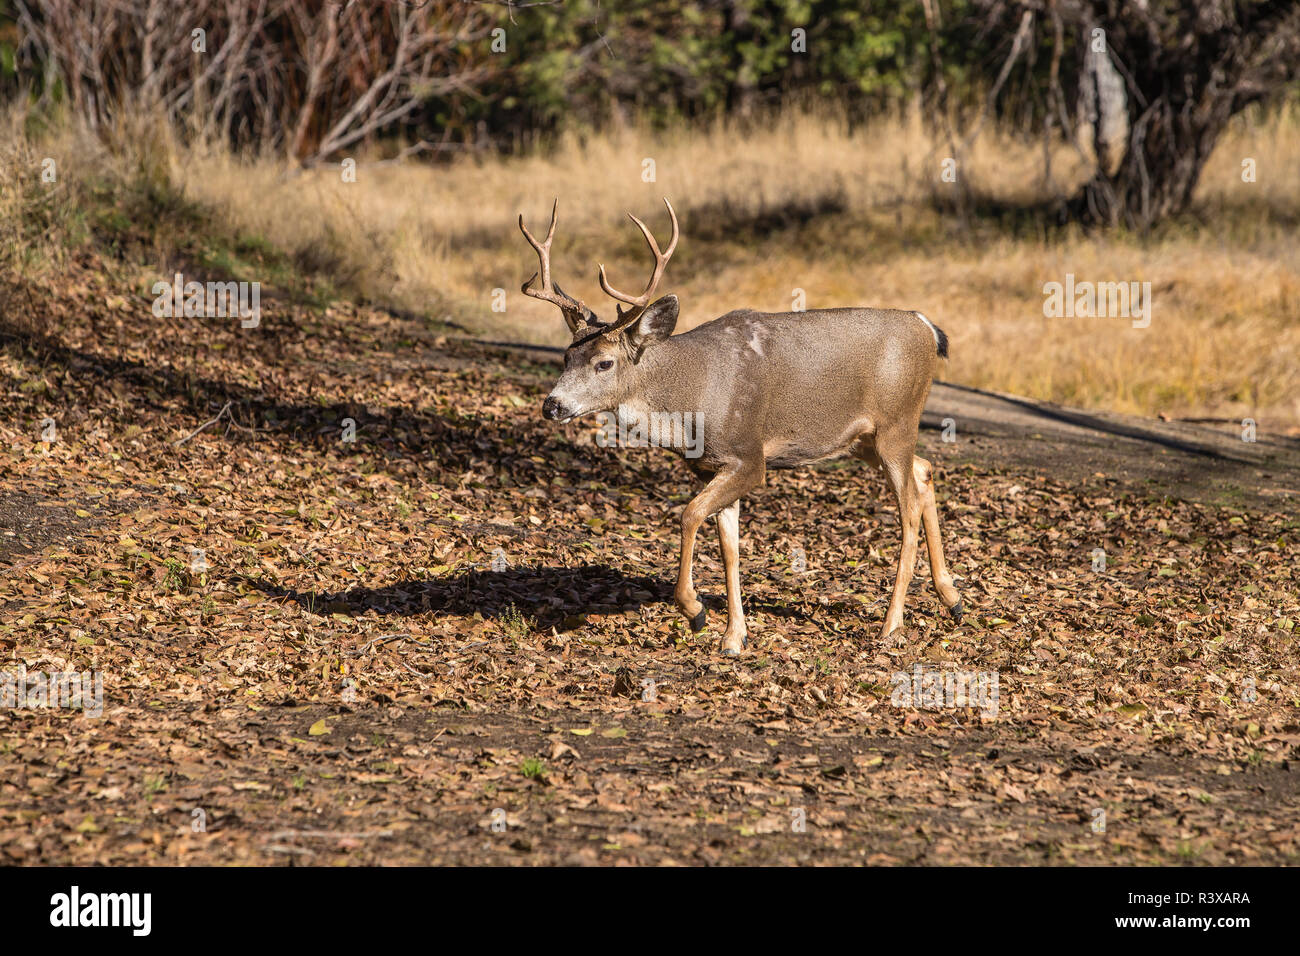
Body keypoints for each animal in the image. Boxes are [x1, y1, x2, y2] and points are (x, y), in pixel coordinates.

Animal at [519, 198, 962, 656]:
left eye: (604, 363)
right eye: (565, 357)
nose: (552, 405)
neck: (690, 403)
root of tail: (927, 328)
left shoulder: (749, 457)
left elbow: (689, 515)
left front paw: (695, 610)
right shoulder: (712, 467)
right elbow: (729, 548)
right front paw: (734, 636)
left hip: (898, 421)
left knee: (908, 507)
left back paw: (892, 625)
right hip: (865, 440)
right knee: (925, 470)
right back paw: (953, 600)